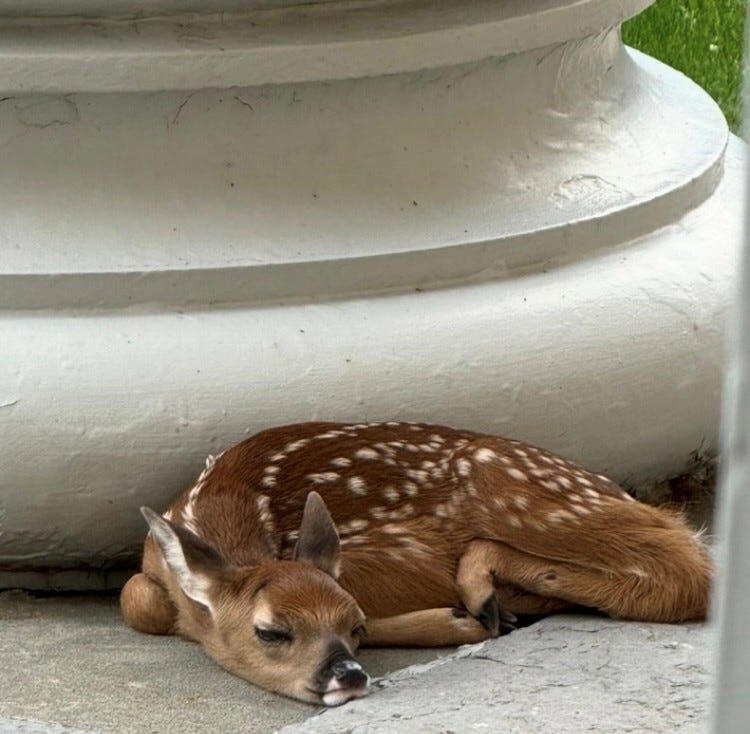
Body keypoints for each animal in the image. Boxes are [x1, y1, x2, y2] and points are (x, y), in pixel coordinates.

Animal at [121, 421, 712, 706]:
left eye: (354, 625)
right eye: (270, 632)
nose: (347, 674)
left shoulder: (382, 551)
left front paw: (456, 619)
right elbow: (137, 598)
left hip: (512, 489)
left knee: (687, 566)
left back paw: (479, 589)